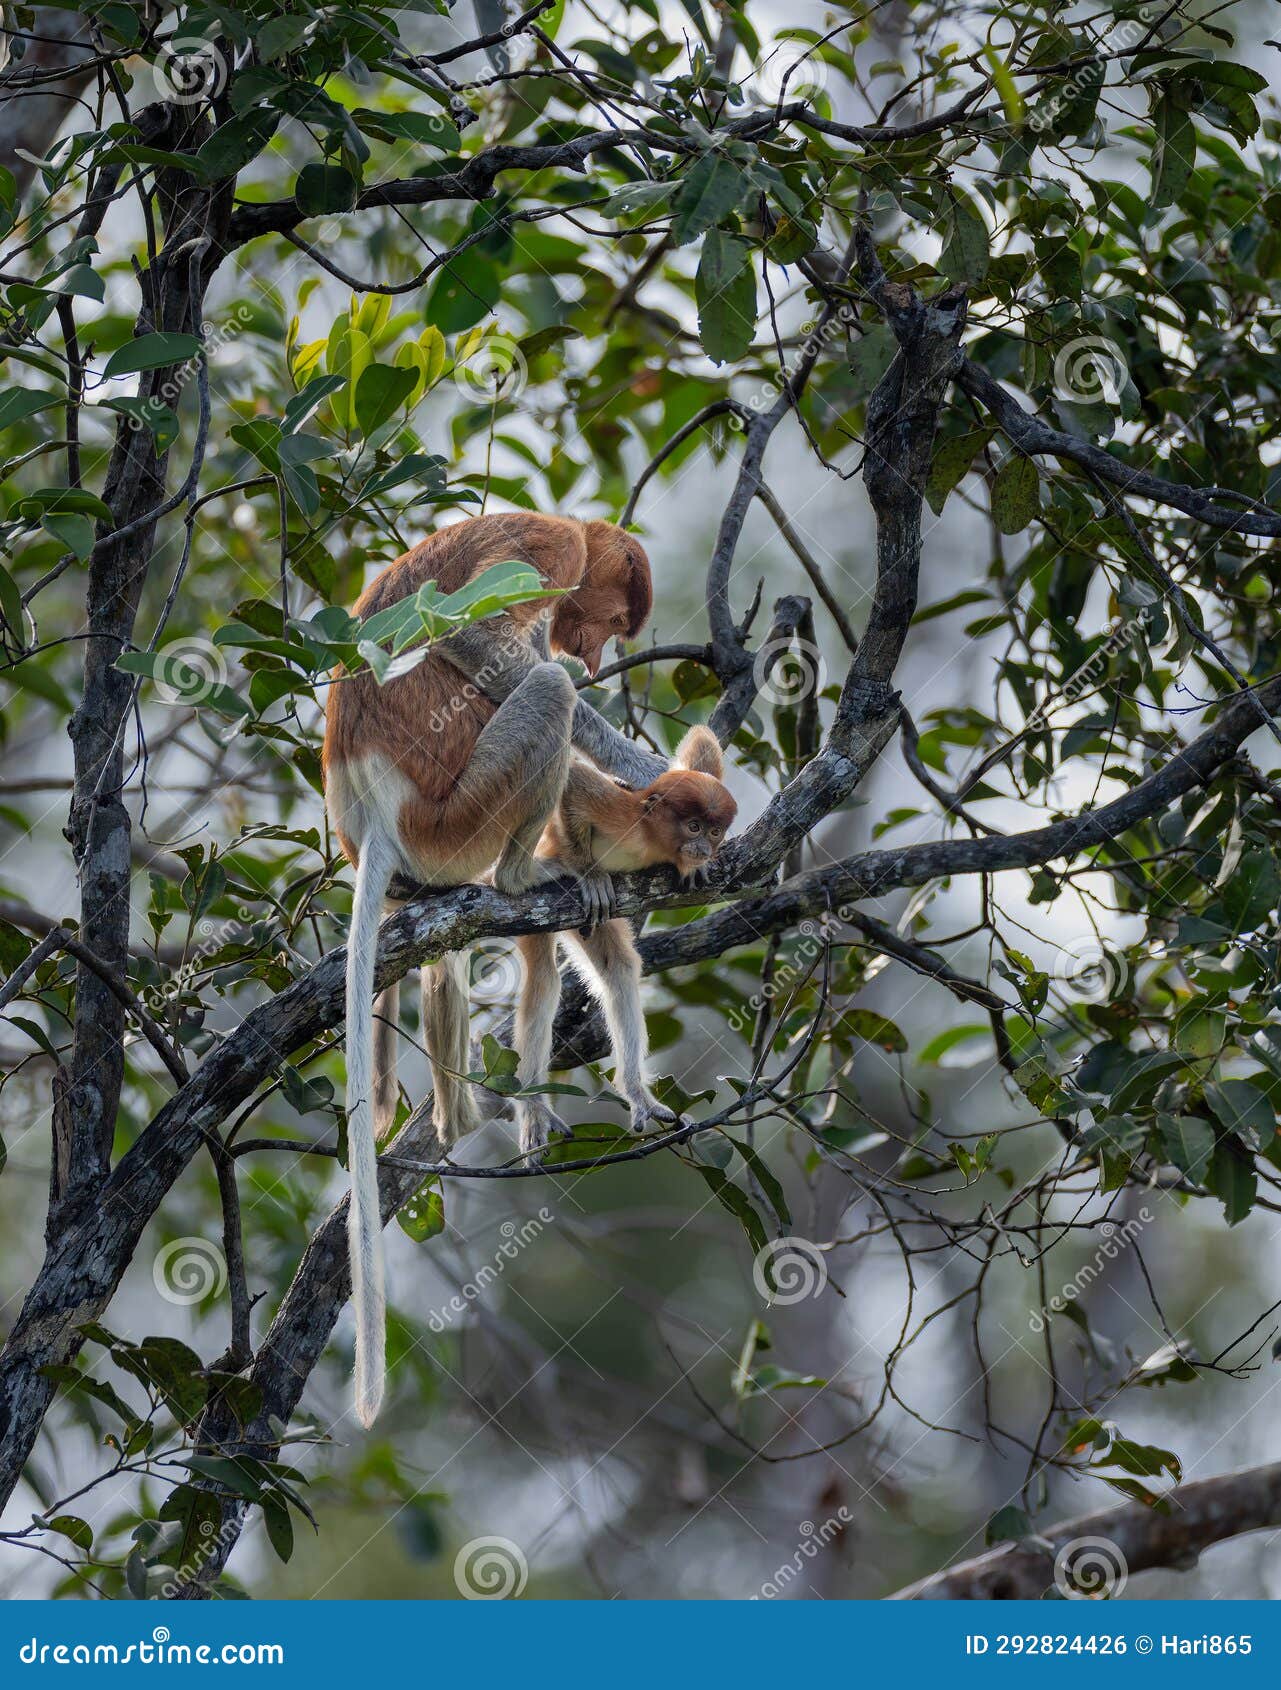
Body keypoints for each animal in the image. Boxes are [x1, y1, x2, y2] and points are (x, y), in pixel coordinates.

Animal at [322, 512, 668, 1426]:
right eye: (608, 621)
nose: (592, 654)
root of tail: (376, 819)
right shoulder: (553, 551)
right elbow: (468, 633)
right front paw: (652, 769)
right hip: (461, 815)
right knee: (542, 688)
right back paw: (524, 873)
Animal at [514, 725, 737, 1157]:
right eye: (694, 827)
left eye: (715, 830)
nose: (703, 848)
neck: (653, 841)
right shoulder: (625, 814)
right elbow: (571, 781)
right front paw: (587, 871)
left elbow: (700, 748)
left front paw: (695, 870)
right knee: (543, 978)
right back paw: (533, 1108)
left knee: (617, 968)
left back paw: (636, 1093)